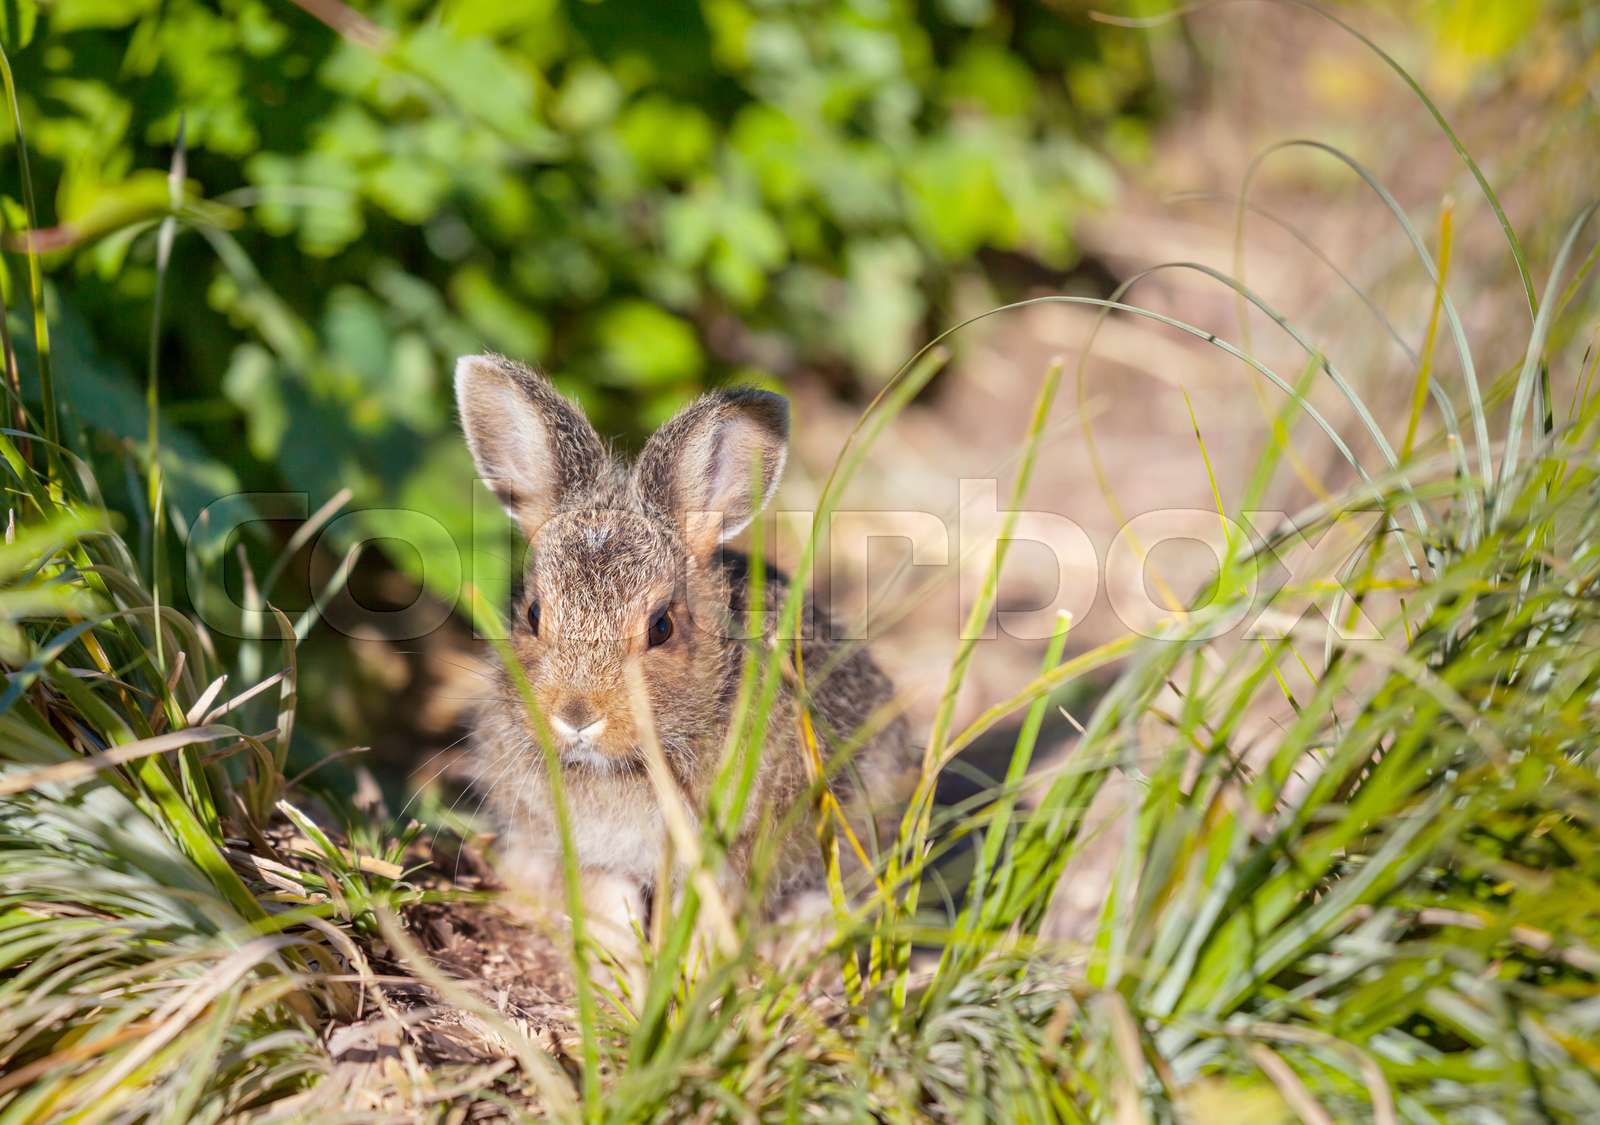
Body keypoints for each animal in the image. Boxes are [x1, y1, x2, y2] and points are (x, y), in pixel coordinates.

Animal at [454, 353, 914, 944]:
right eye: (534, 615)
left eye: (662, 627)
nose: (576, 716)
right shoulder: (595, 858)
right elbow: (610, 907)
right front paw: (618, 966)